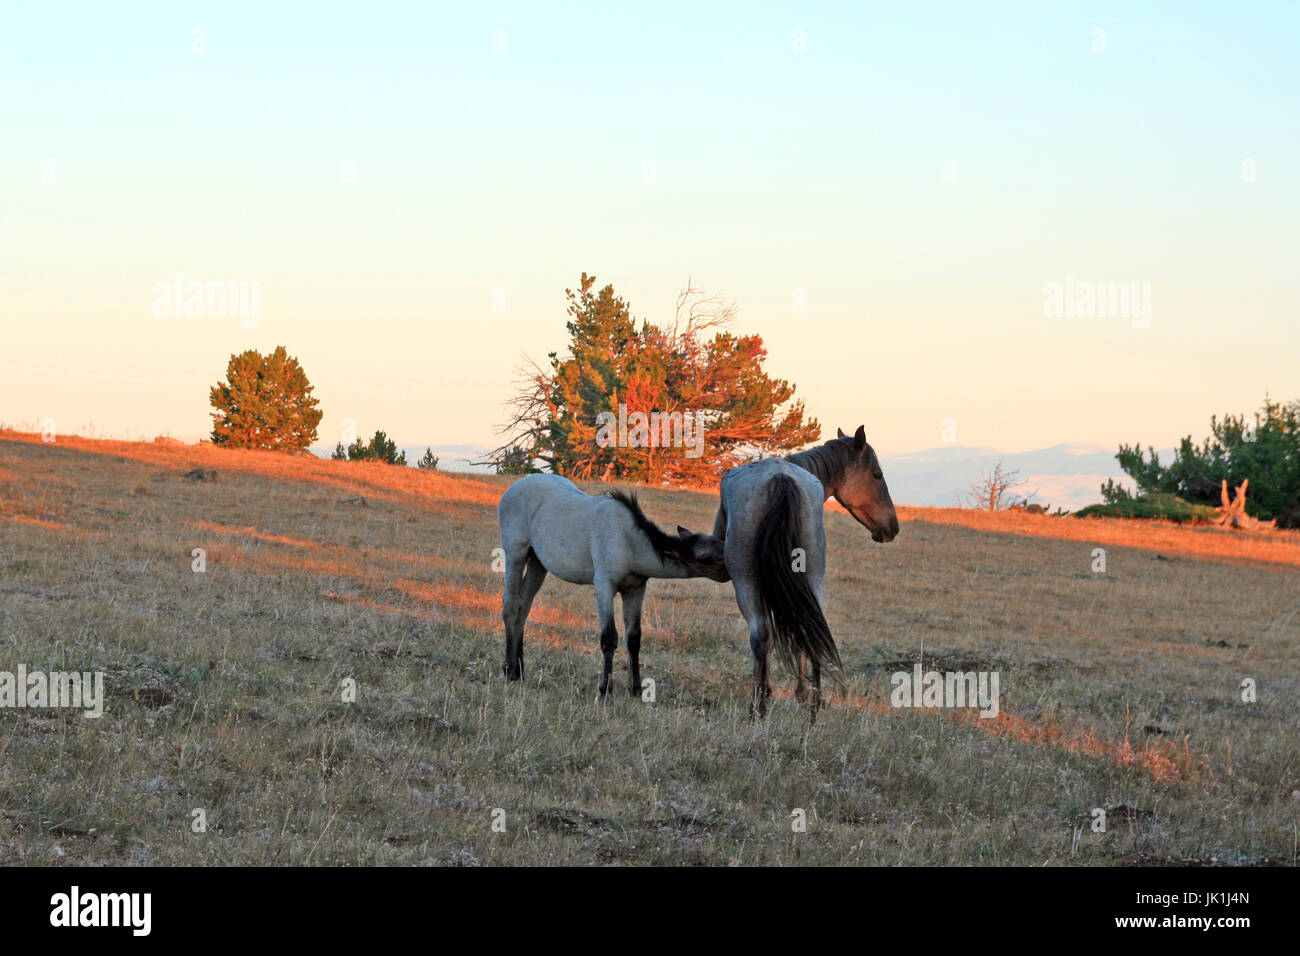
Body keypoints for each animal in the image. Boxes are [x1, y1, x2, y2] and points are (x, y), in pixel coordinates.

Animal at [497, 473, 728, 697]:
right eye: (706, 558)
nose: (731, 570)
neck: (629, 542)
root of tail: (512, 488)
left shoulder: (635, 590)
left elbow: (633, 638)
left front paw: (635, 689)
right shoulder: (604, 585)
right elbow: (609, 637)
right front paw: (605, 689)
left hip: (537, 563)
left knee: (523, 608)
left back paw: (520, 671)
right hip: (516, 553)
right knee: (510, 607)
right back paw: (508, 670)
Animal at [712, 425, 899, 719]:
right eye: (876, 474)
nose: (893, 527)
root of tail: (781, 478)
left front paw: (767, 690)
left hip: (746, 582)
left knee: (761, 635)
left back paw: (760, 706)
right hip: (810, 577)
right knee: (808, 629)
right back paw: (811, 703)